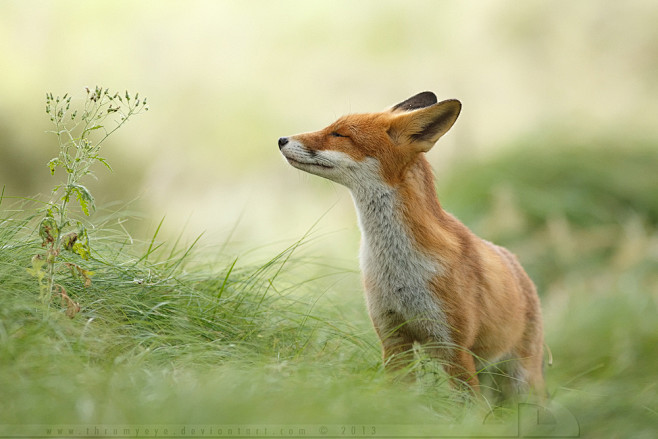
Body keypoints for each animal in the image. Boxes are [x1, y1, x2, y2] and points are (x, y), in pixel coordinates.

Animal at [278, 92, 545, 399]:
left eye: (339, 134)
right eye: (332, 128)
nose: (281, 139)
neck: (398, 268)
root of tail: (519, 267)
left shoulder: (453, 347)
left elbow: (469, 406)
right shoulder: (393, 337)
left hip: (522, 380)